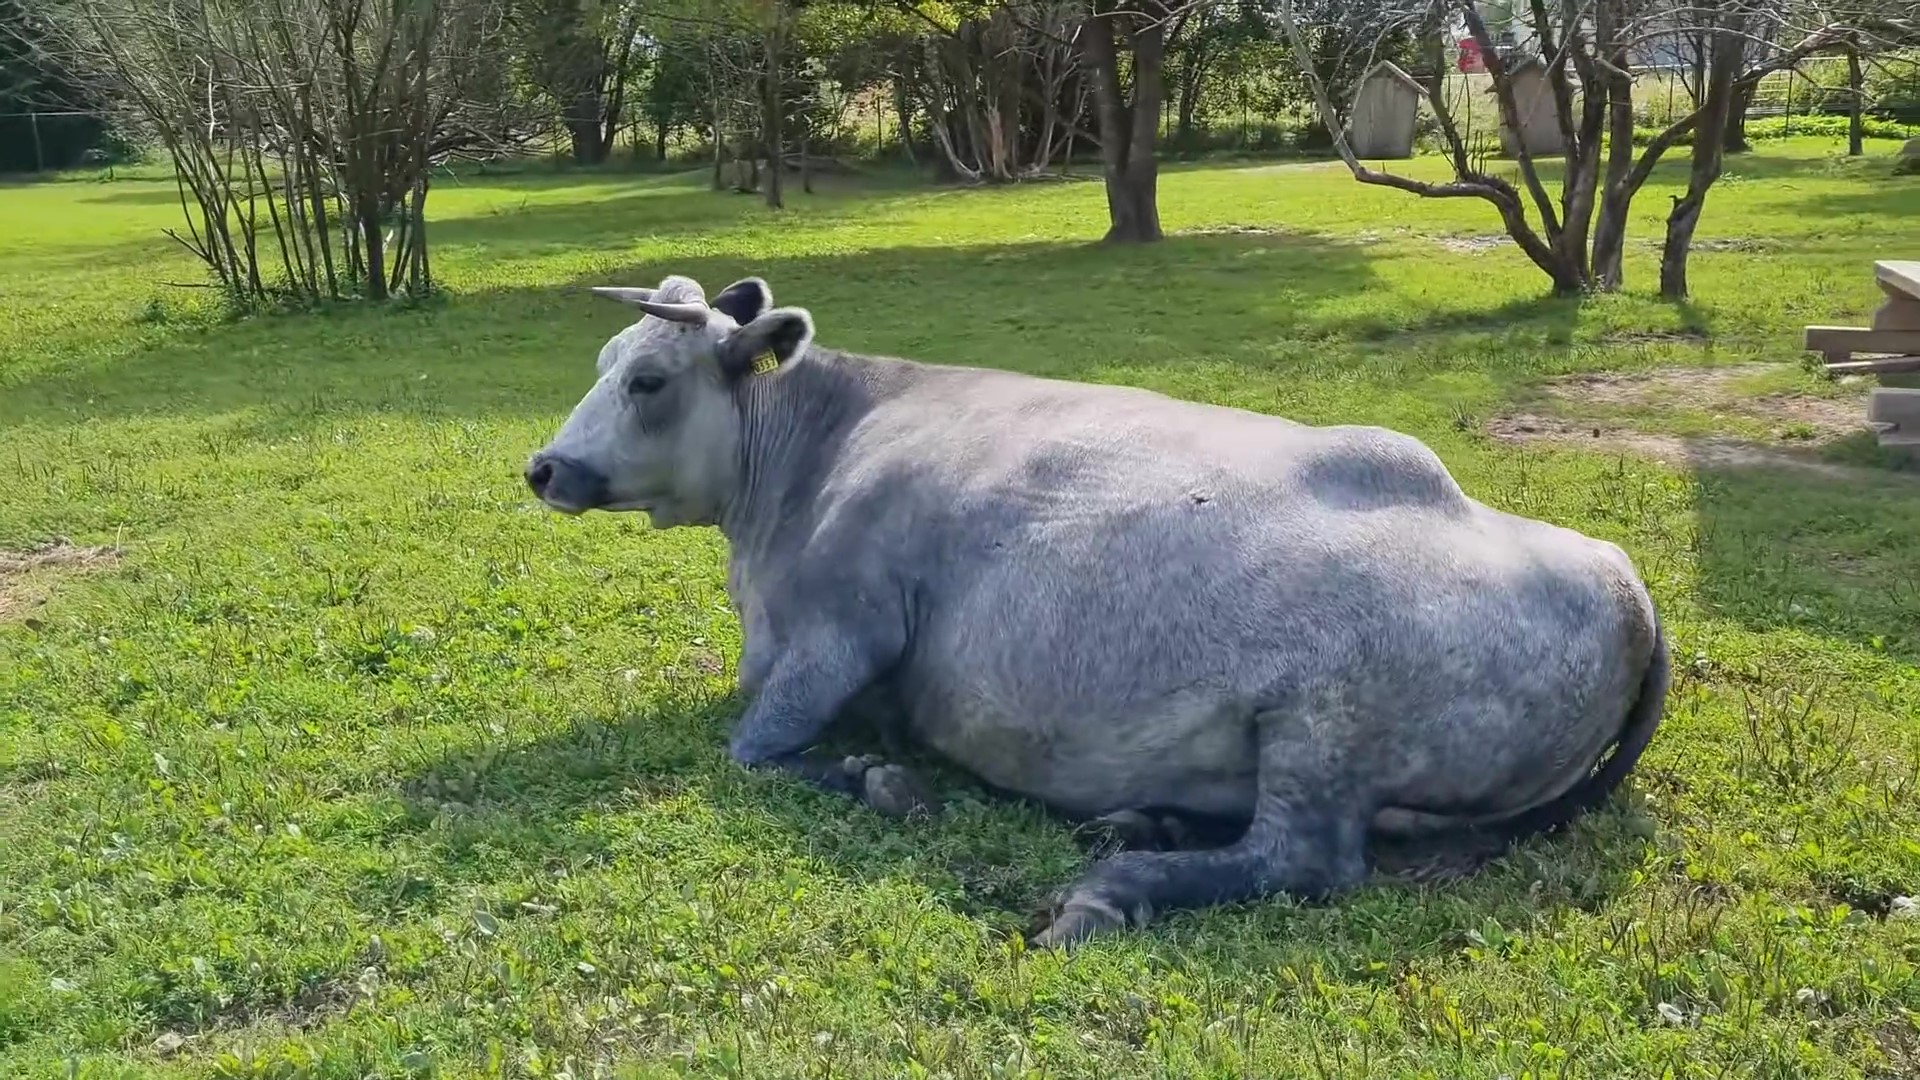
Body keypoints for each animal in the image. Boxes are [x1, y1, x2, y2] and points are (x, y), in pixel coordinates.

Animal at [524, 273, 1670, 948]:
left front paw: (877, 778)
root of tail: (1622, 582)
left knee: (1306, 857)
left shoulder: (843, 630)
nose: (543, 466)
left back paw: (1116, 885)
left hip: (1323, 726)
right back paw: (1139, 818)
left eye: (648, 380)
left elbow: (754, 751)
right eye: (603, 366)